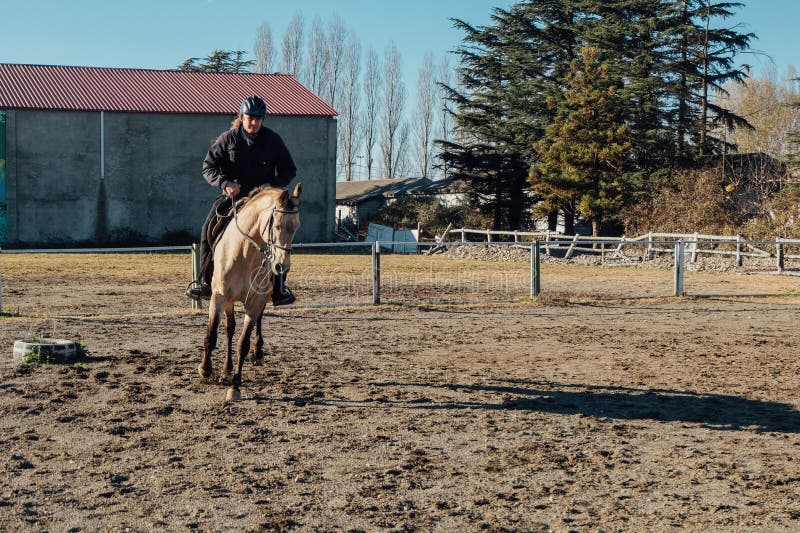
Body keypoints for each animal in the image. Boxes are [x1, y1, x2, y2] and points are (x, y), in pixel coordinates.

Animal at [198, 183, 301, 401]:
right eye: (277, 225)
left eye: (296, 226)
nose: (281, 267)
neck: (243, 252)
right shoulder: (219, 297)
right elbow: (212, 335)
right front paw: (205, 369)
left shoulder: (255, 301)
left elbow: (243, 344)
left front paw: (235, 386)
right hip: (228, 300)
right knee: (229, 329)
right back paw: (225, 370)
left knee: (255, 323)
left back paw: (257, 352)